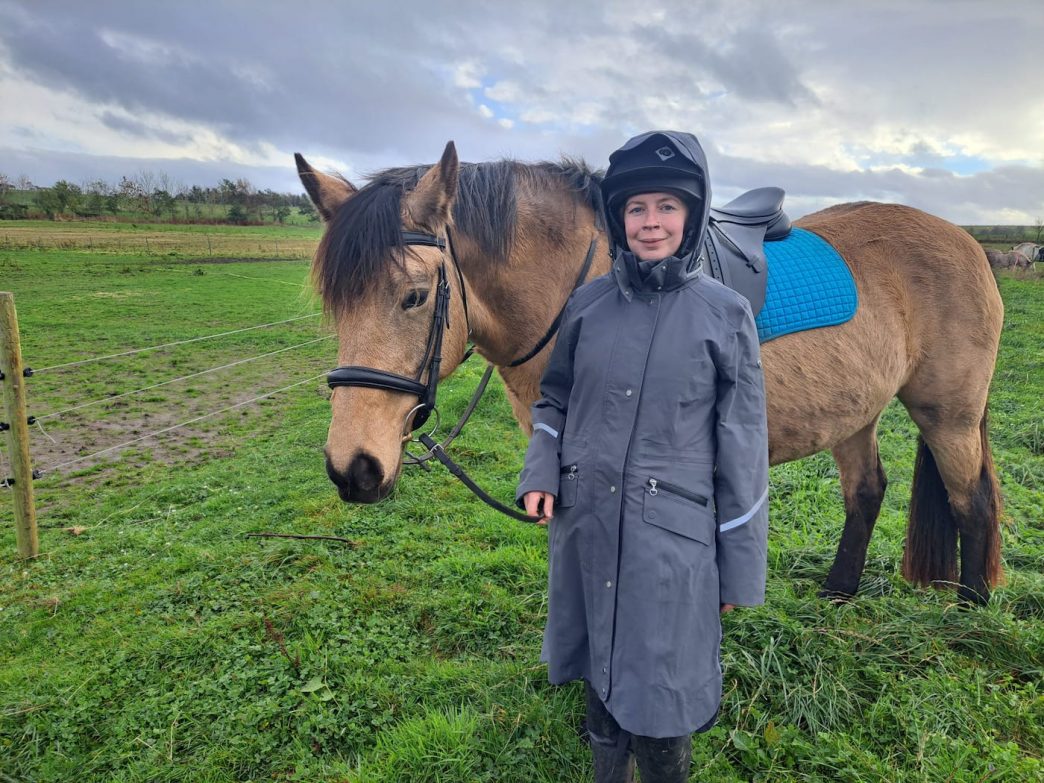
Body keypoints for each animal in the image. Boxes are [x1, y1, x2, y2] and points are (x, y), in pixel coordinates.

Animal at [295, 141, 1005, 605]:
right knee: (867, 493)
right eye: (335, 304)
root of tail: (968, 241)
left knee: (970, 502)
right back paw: (838, 591)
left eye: (414, 296)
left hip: (949, 413)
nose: (352, 468)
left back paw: (968, 612)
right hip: (856, 410)